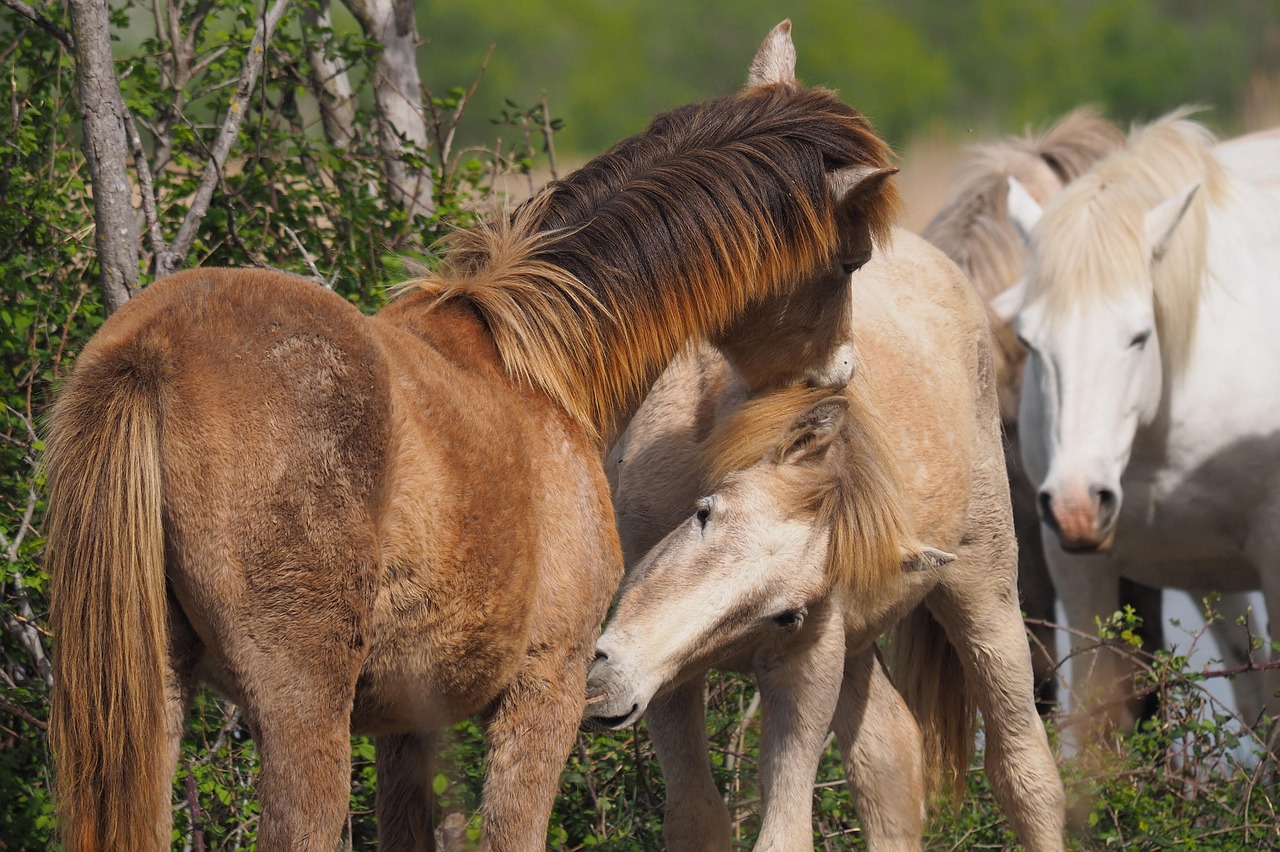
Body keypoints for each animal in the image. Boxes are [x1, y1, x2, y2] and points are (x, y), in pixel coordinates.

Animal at [44, 22, 901, 850]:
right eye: (849, 260)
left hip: (155, 697)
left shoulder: (408, 728)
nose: (838, 378)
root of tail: (149, 353)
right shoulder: (545, 691)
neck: (541, 366)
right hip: (302, 710)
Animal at [589, 230, 1066, 851]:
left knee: (1024, 771)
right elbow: (697, 818)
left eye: (787, 614)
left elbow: (784, 832)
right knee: (889, 759)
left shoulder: (806, 662)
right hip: (862, 645)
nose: (609, 677)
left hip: (983, 592)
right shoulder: (667, 683)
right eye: (704, 514)